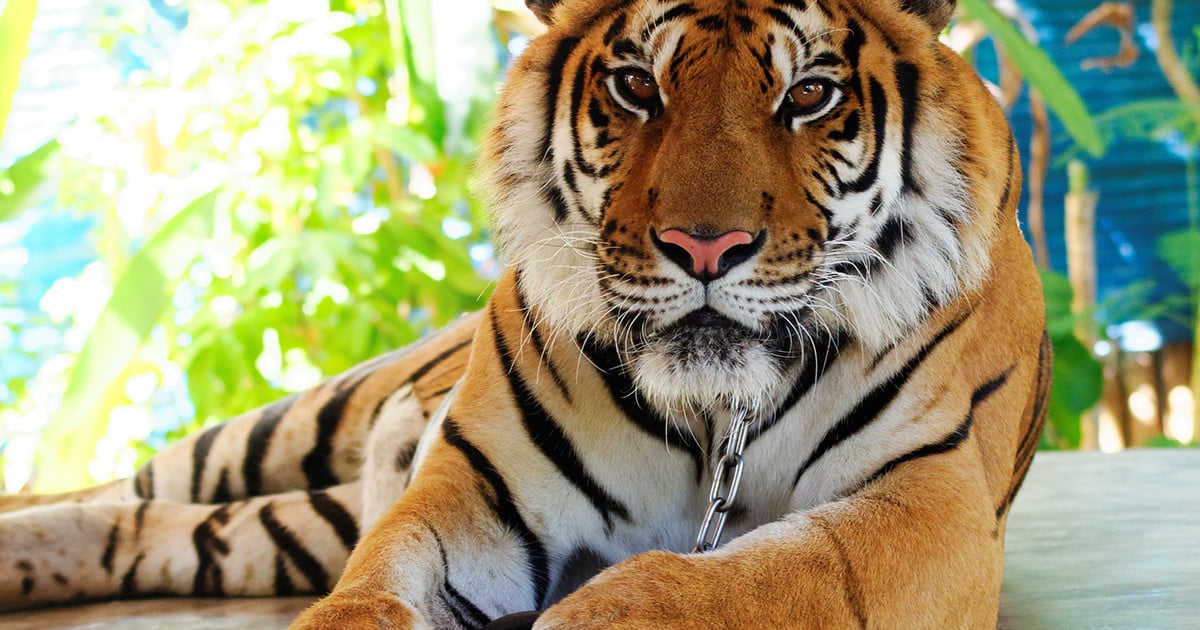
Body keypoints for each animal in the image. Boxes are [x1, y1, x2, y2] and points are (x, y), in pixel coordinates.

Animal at [0, 0, 1051, 627]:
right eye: (636, 86)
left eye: (810, 95)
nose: (705, 248)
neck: (717, 417)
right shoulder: (476, 492)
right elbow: (372, 592)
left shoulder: (928, 507)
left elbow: (701, 581)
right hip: (288, 426)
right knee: (119, 490)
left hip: (293, 520)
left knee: (156, 527)